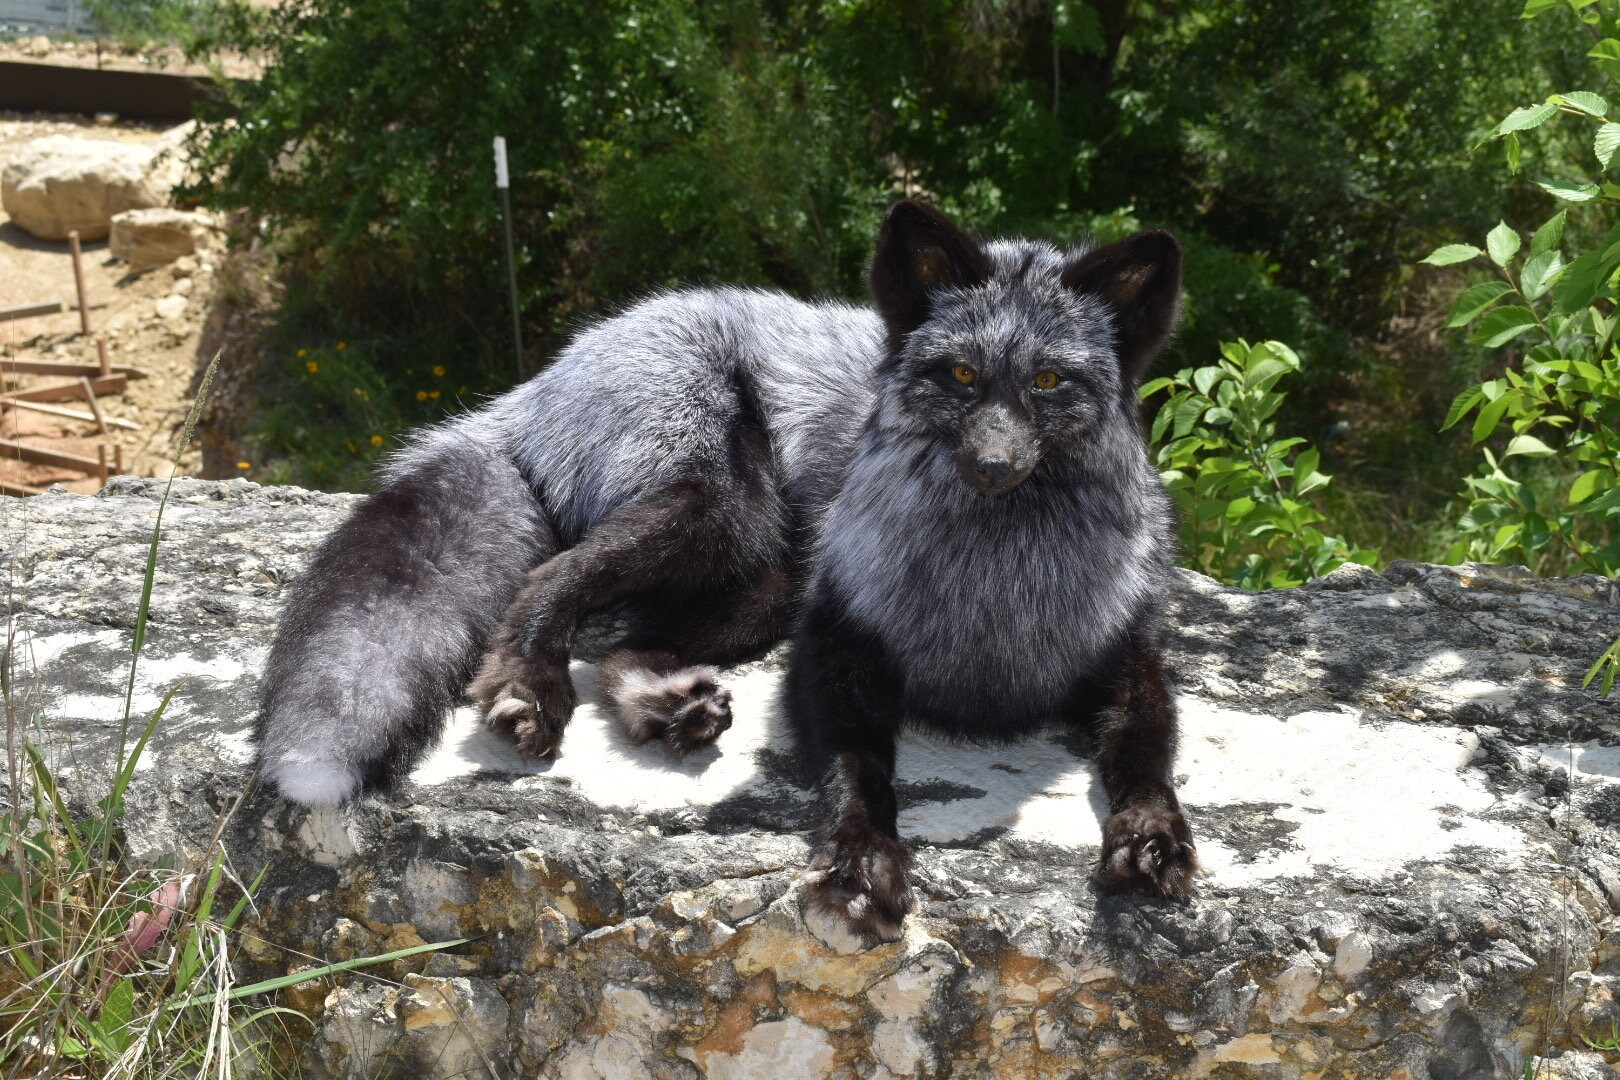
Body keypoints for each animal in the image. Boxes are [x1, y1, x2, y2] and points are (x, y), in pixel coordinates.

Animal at [254, 201, 1196, 947]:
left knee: (626, 647)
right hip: (720, 516)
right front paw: (862, 862)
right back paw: (529, 677)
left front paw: (1154, 833)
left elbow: (1146, 753)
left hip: (767, 578)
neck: (995, 587)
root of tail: (547, 376)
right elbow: (861, 771)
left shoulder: (1125, 656)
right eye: (961, 375)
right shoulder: (831, 641)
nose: (994, 463)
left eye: (1049, 381)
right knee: (553, 577)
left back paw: (664, 702)